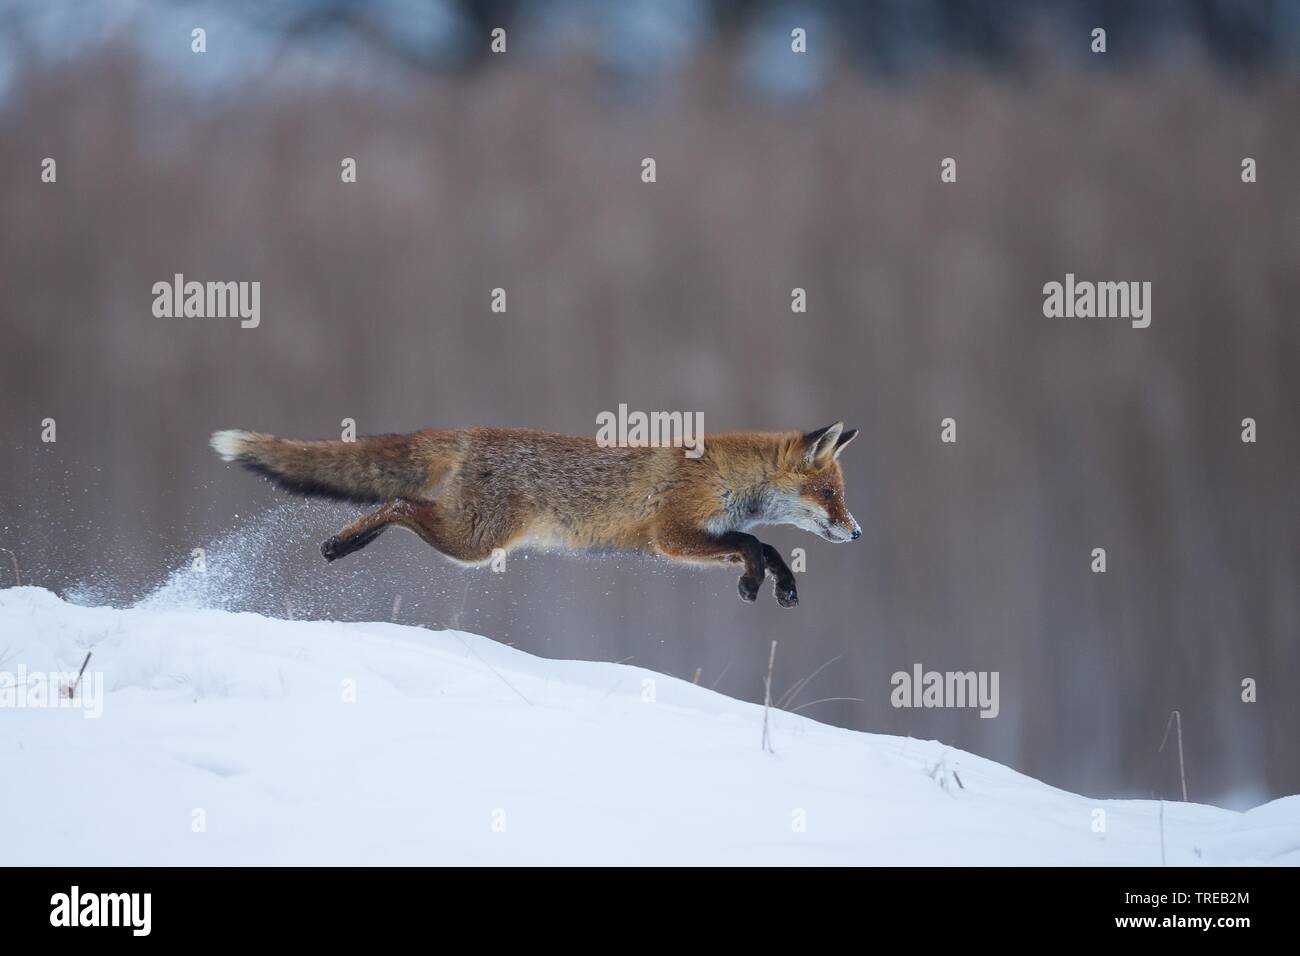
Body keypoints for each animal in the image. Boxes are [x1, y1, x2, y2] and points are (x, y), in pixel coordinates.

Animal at [209, 422, 860, 607]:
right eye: (830, 495)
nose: (857, 531)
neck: (725, 473)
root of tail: (471, 432)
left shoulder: (703, 536)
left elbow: (763, 547)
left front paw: (775, 585)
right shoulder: (672, 536)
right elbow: (752, 543)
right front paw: (757, 581)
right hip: (473, 543)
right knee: (395, 503)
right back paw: (343, 544)